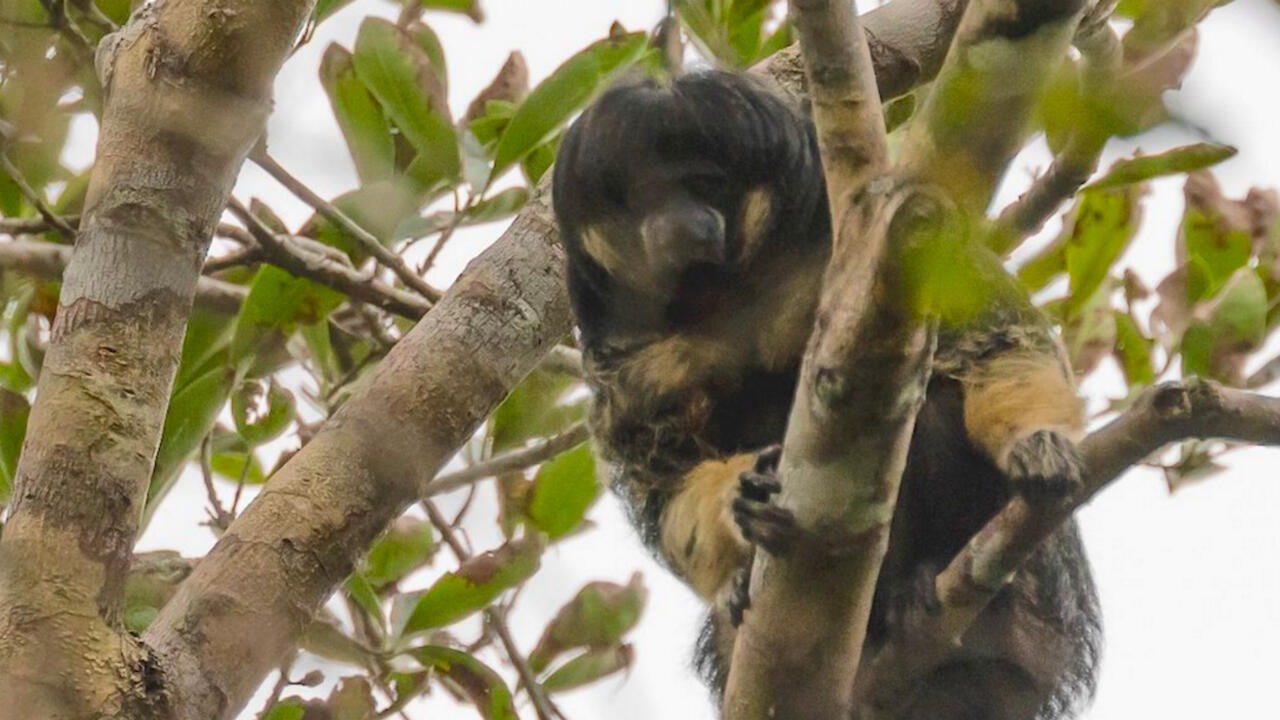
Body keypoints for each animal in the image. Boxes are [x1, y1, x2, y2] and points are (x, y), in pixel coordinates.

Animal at [552, 70, 1101, 720]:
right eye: (640, 203)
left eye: (704, 185)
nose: (678, 227)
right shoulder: (627, 359)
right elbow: (663, 487)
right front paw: (740, 500)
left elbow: (997, 342)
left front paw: (1035, 444)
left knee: (934, 412)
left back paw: (925, 582)